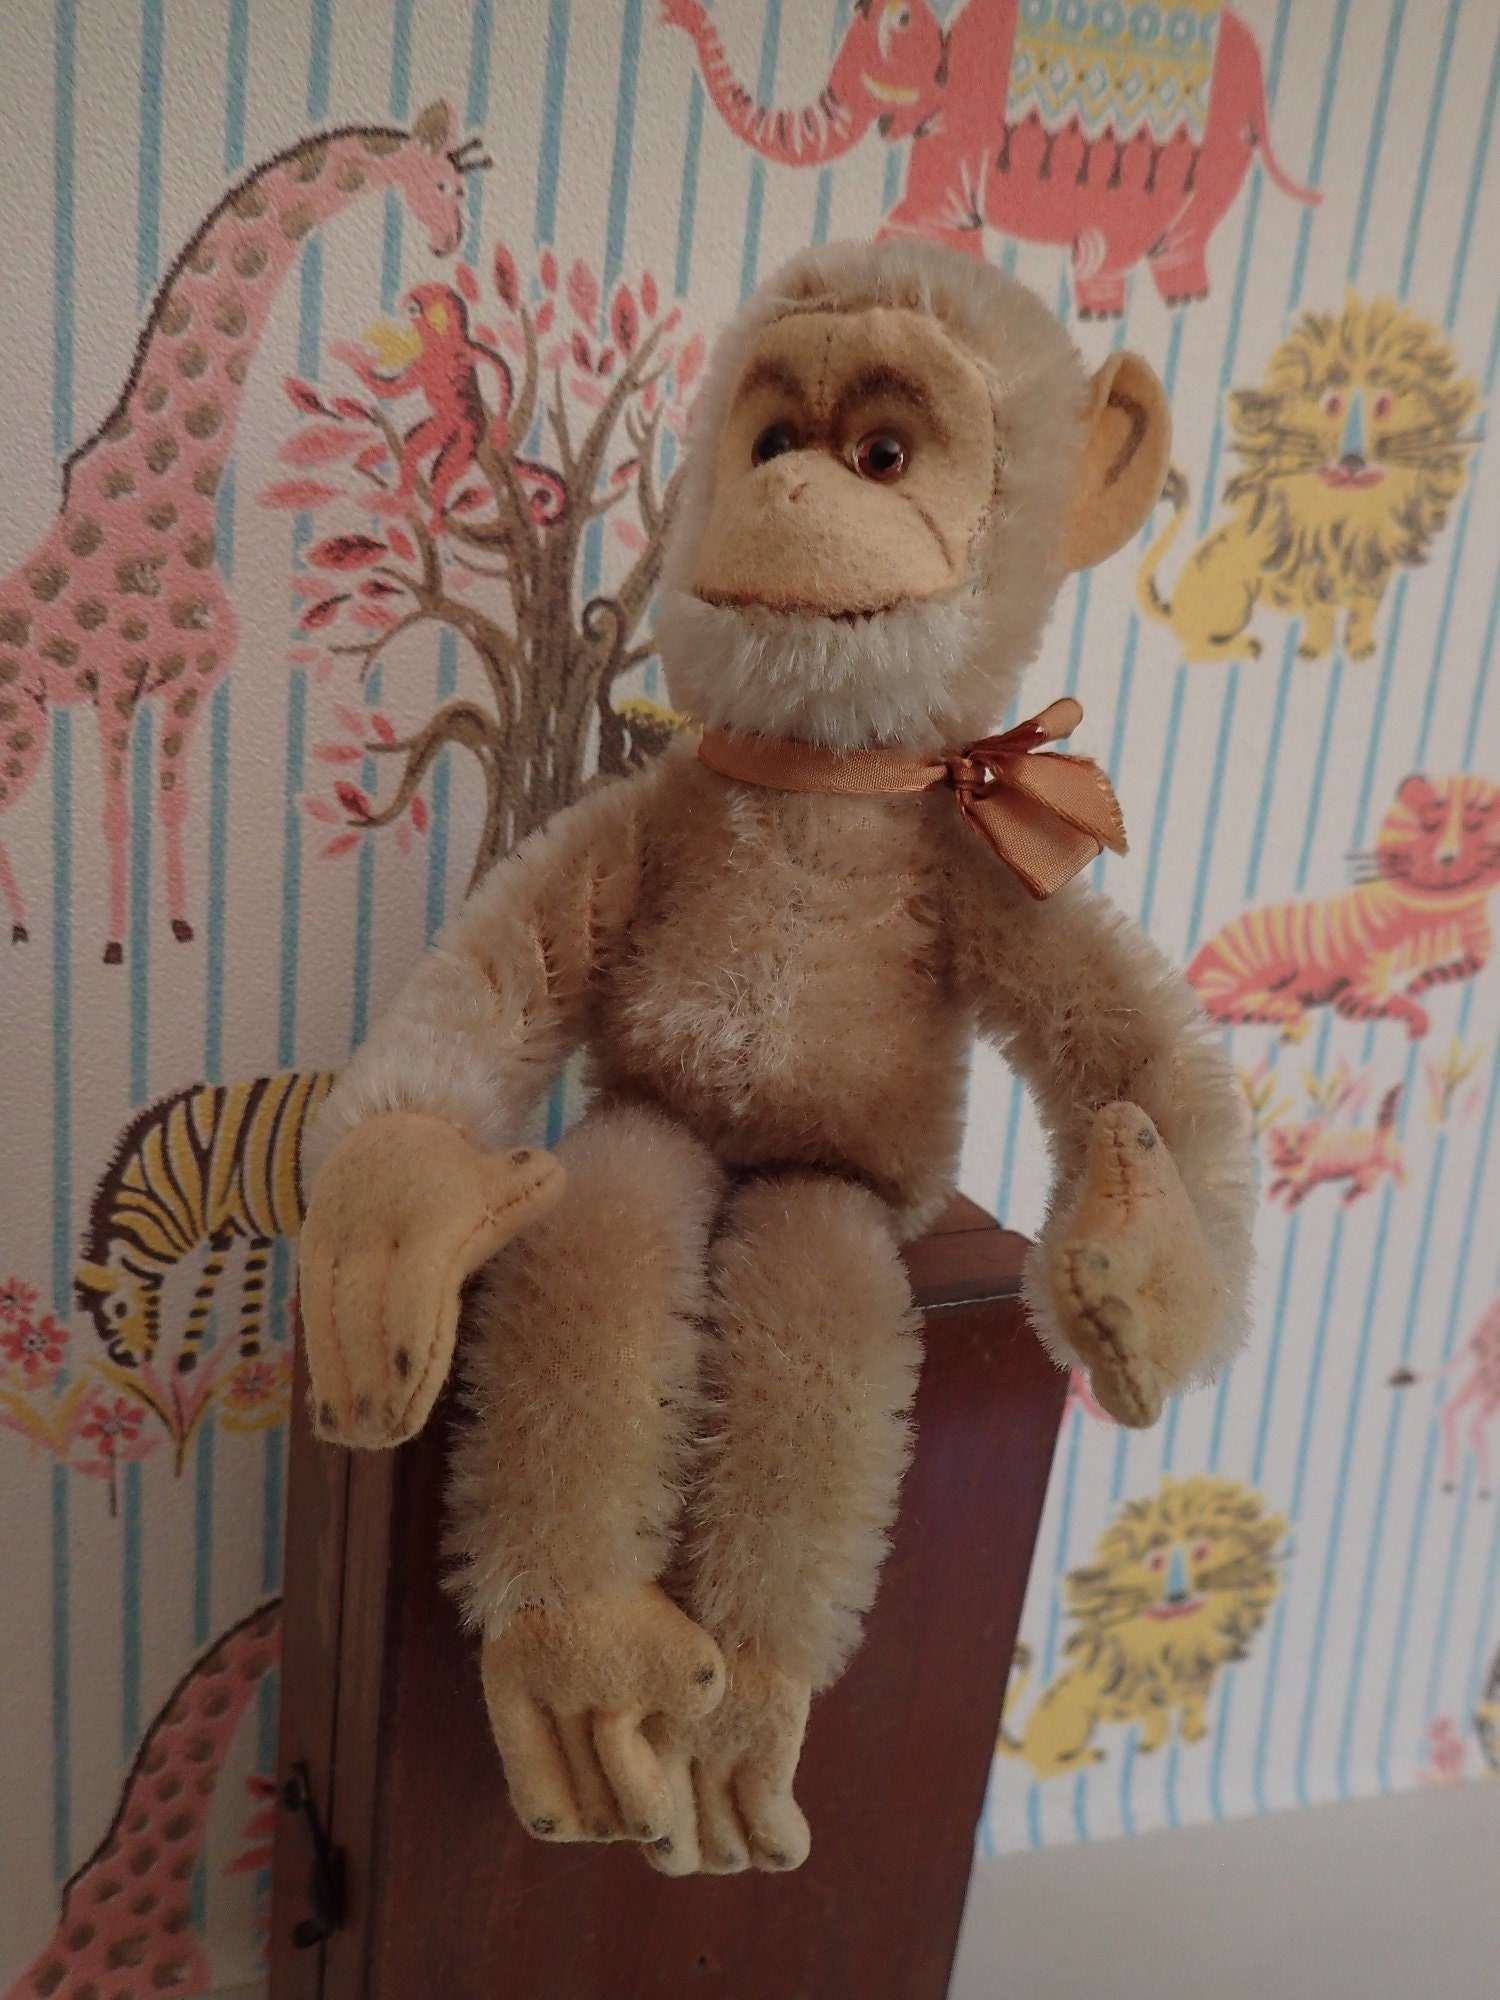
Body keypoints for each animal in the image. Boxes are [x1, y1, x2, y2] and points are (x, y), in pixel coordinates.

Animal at [336, 280, 566, 527]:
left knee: (444, 467)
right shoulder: (422, 363)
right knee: (415, 445)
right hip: (443, 424)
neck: (442, 344)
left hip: (468, 432)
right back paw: (402, 498)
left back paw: (437, 522)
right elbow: (393, 388)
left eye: (415, 307)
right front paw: (354, 358)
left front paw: (501, 429)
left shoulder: (465, 350)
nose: (405, 305)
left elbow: (499, 369)